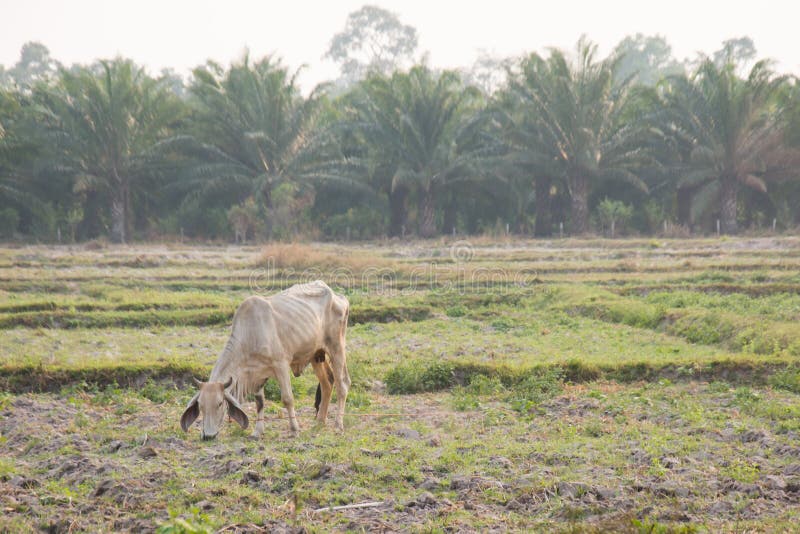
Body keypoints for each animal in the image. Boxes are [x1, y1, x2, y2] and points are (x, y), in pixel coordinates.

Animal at [180, 280, 350, 440]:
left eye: (220, 403)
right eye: (201, 406)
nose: (208, 436)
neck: (250, 334)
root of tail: (338, 296)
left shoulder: (281, 365)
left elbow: (287, 398)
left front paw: (294, 429)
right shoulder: (257, 374)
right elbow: (259, 402)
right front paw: (257, 432)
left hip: (337, 348)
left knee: (342, 385)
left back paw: (338, 425)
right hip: (316, 355)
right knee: (327, 384)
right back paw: (320, 422)